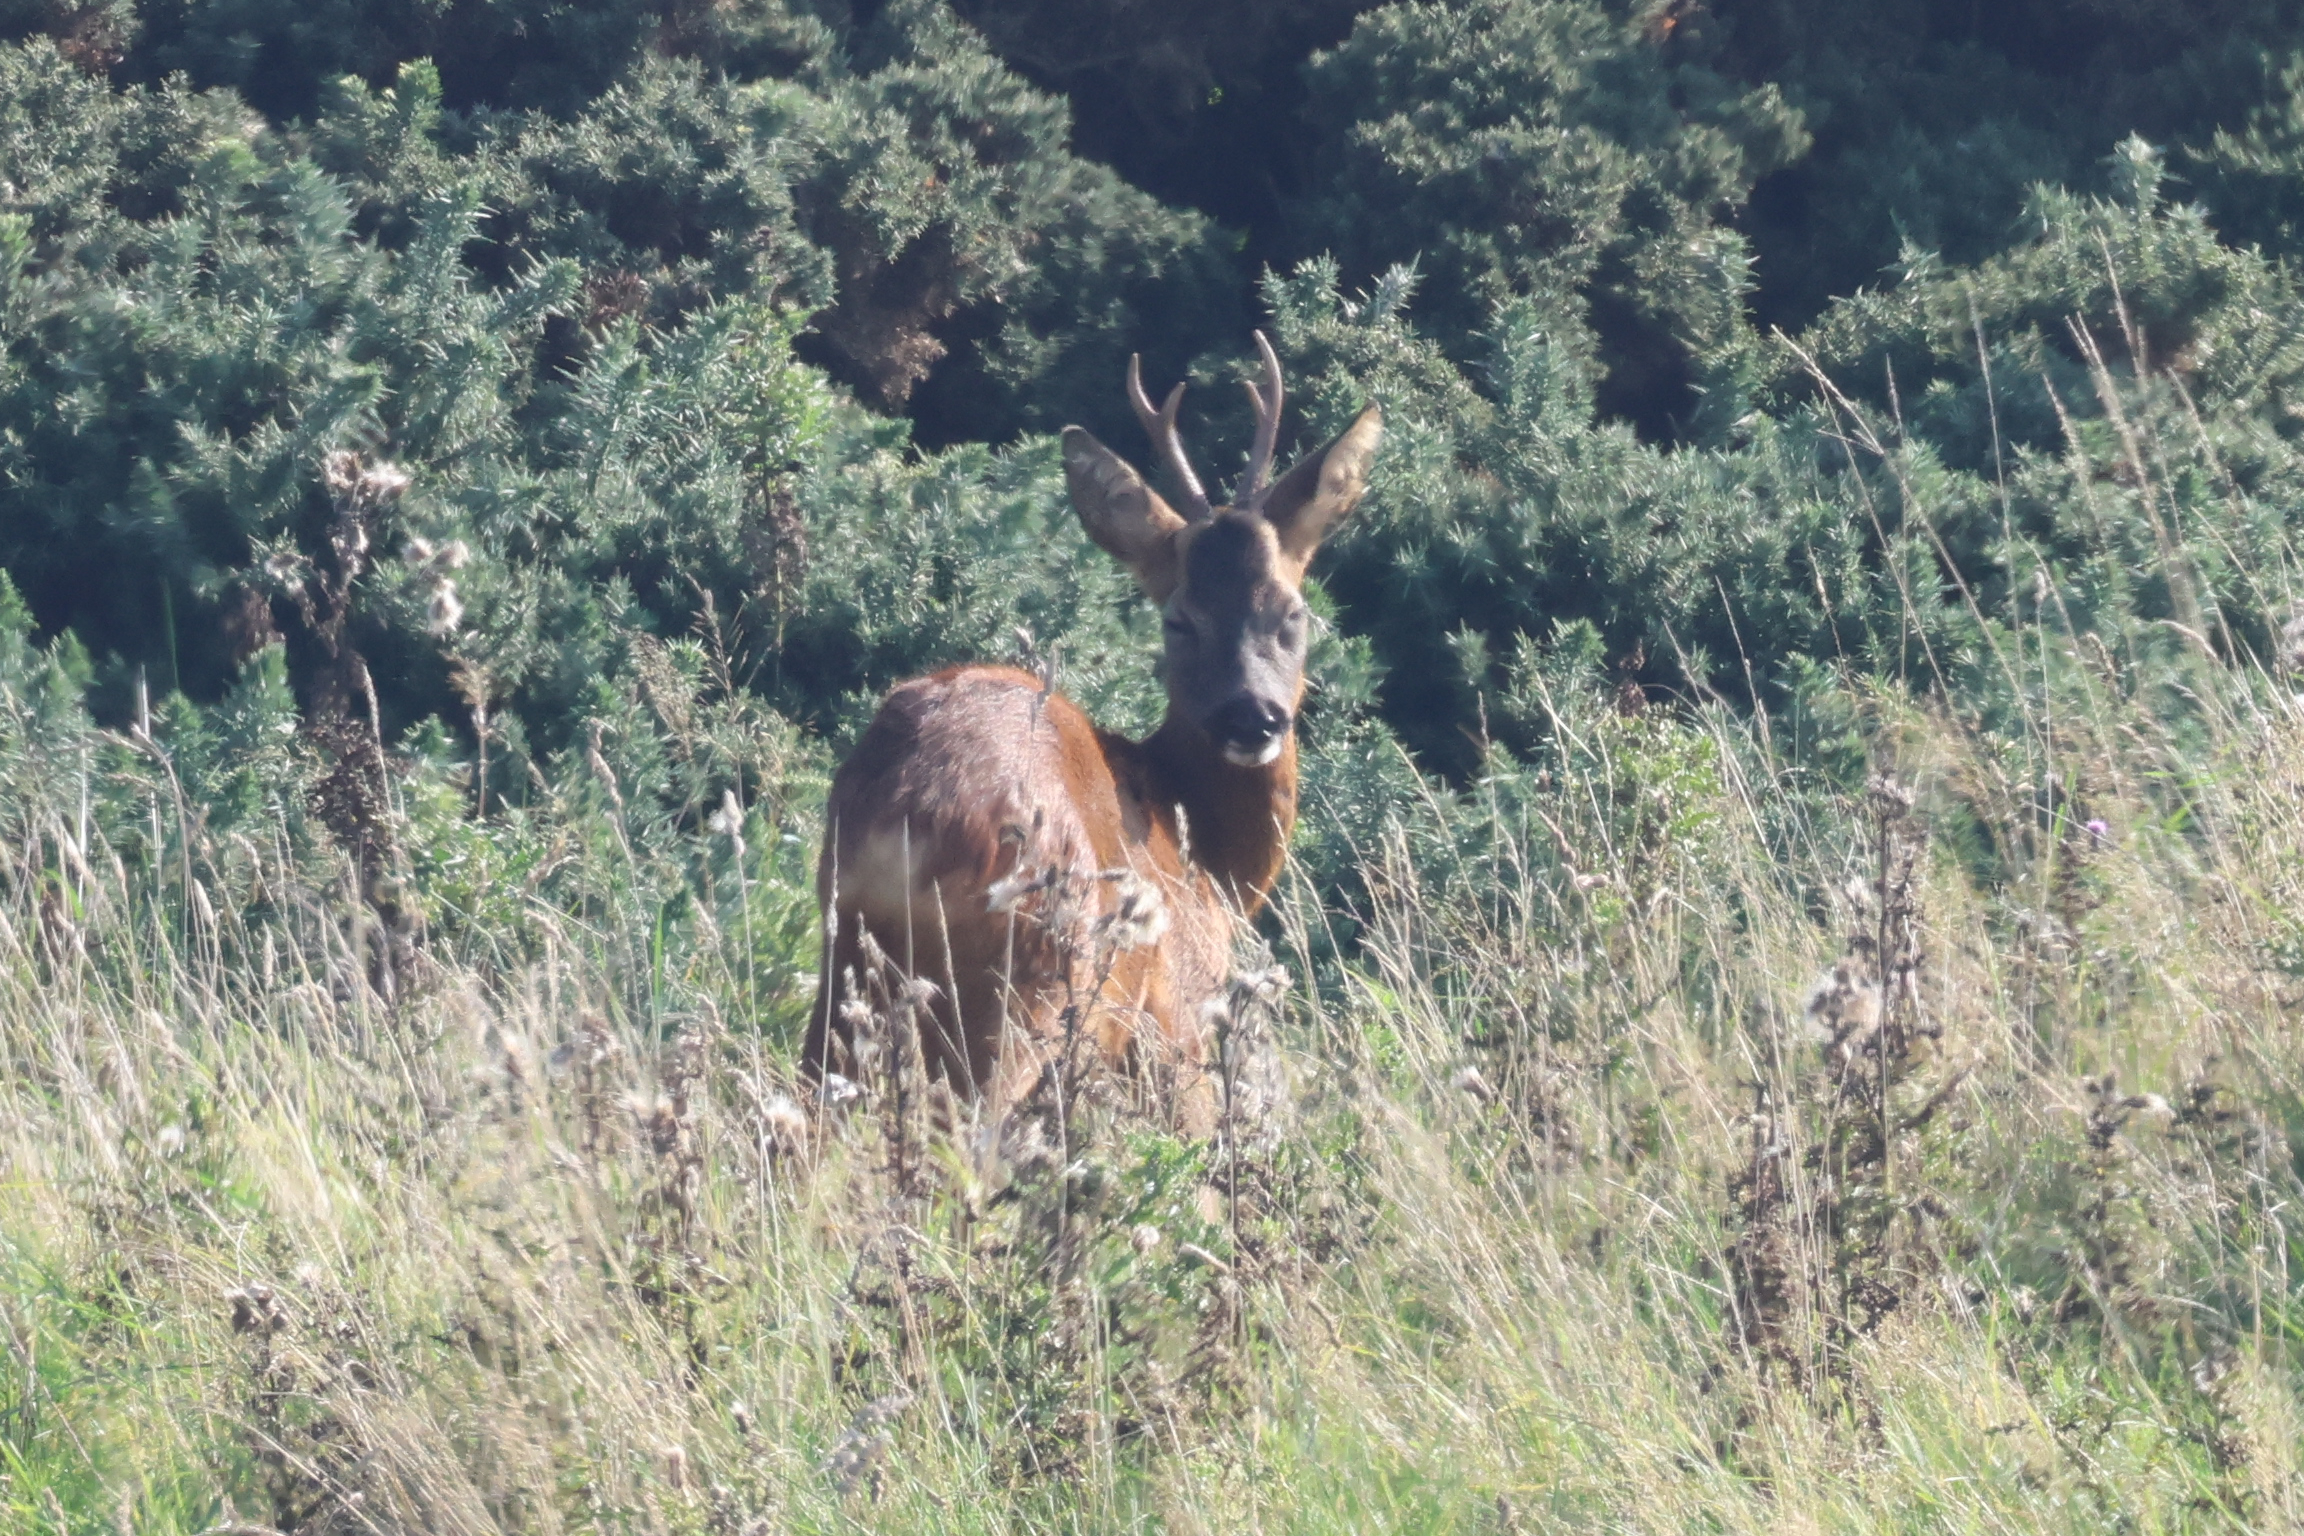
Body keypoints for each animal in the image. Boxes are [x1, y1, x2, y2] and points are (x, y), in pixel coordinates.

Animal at [803, 335, 1381, 1133]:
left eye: (1292, 611)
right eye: (1179, 619)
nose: (1252, 716)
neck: (1209, 864)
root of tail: (908, 817)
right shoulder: (1178, 1017)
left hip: (846, 970)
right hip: (1031, 981)